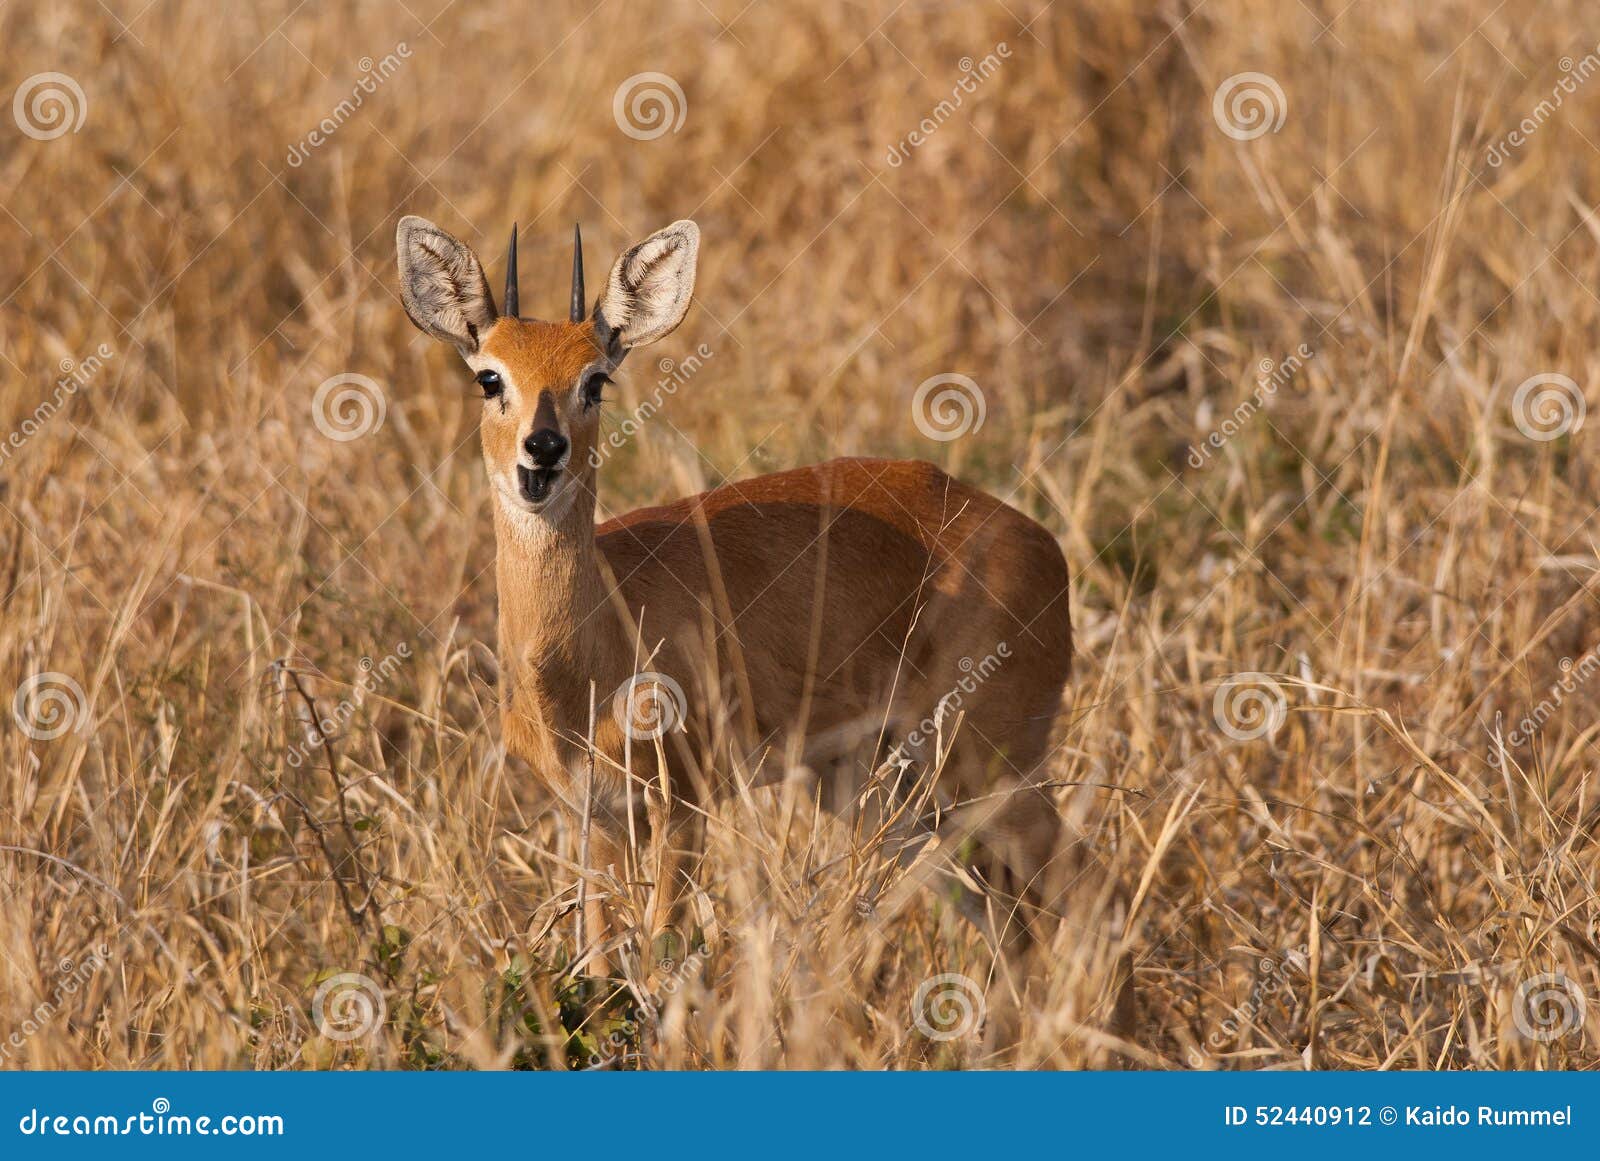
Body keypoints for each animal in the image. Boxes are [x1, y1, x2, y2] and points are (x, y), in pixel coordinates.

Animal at [395, 215, 1075, 965]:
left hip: (986, 762)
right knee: (1006, 917)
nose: (542, 450)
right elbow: (601, 958)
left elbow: (664, 951)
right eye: (489, 376)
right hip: (887, 787)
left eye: (596, 380)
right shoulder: (596, 816)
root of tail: (1043, 545)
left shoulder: (685, 801)